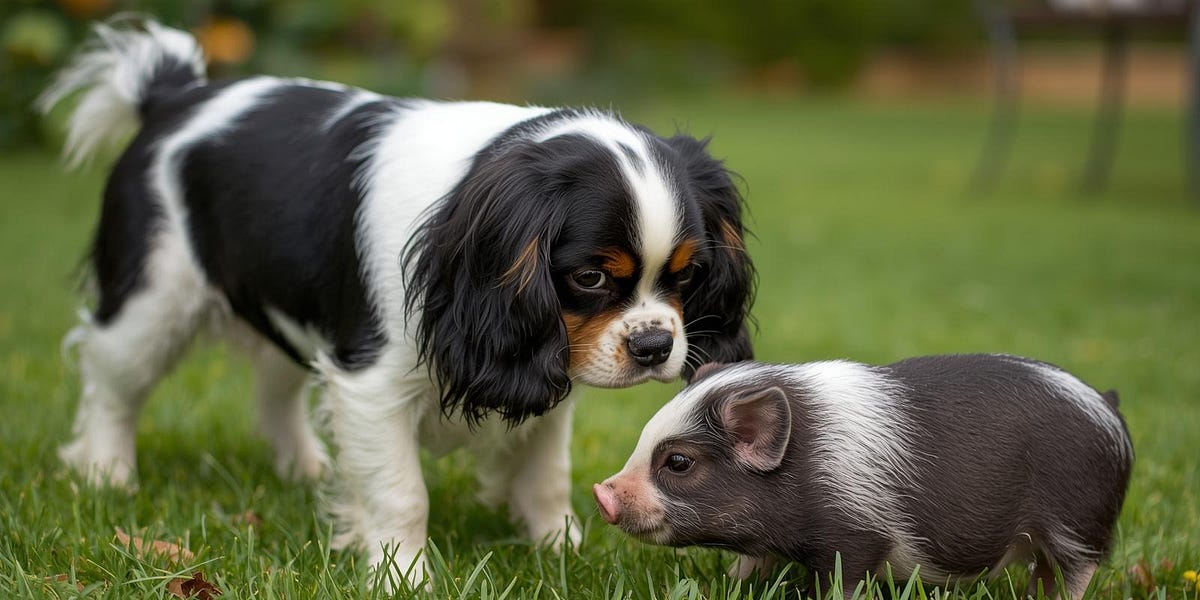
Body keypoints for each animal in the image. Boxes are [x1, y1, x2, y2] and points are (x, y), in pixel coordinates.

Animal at [594, 355, 1133, 598]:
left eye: (678, 462)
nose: (602, 493)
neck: (809, 460)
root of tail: (1106, 405)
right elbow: (753, 563)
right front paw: (732, 582)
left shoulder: (855, 532)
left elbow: (845, 578)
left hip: (1078, 517)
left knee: (1079, 566)